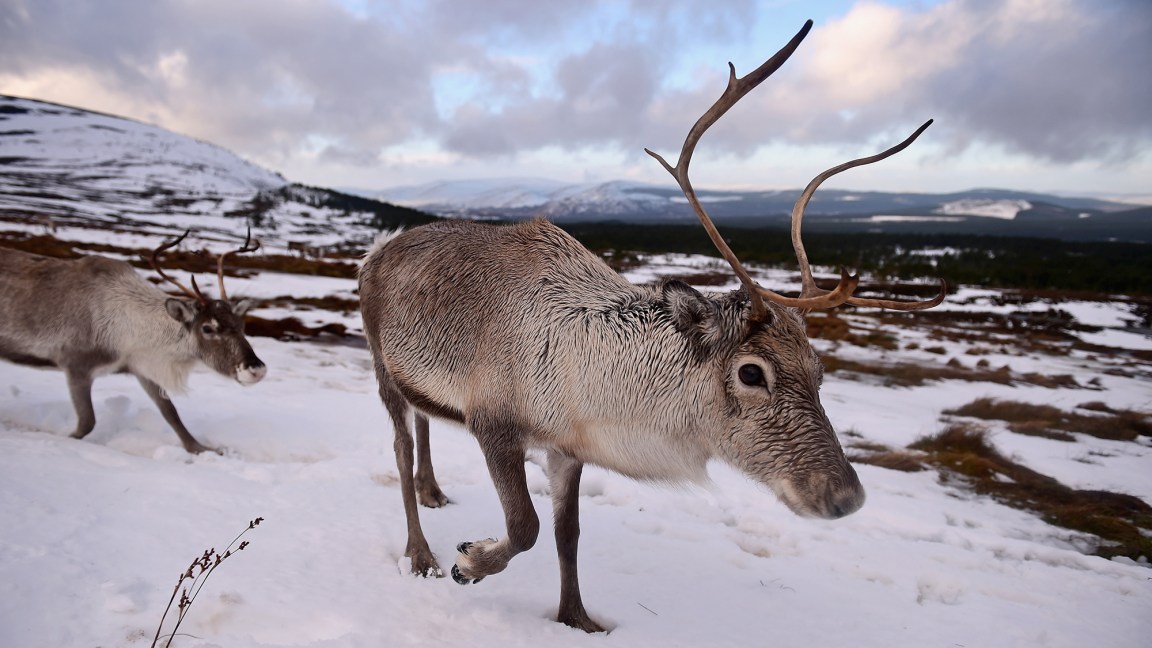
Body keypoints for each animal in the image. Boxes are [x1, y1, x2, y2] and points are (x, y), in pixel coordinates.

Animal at [0, 230, 267, 454]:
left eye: (241, 325)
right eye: (207, 328)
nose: (256, 369)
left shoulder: (142, 367)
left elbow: (171, 414)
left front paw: (201, 449)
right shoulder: (76, 364)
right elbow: (87, 422)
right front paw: (56, 437)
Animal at [358, 20, 944, 632]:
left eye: (820, 371)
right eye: (751, 373)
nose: (845, 496)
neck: (592, 382)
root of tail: (376, 250)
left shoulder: (569, 450)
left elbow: (568, 534)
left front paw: (578, 619)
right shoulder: (493, 422)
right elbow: (526, 527)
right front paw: (469, 563)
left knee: (423, 422)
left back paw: (433, 491)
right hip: (381, 365)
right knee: (400, 448)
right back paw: (420, 552)